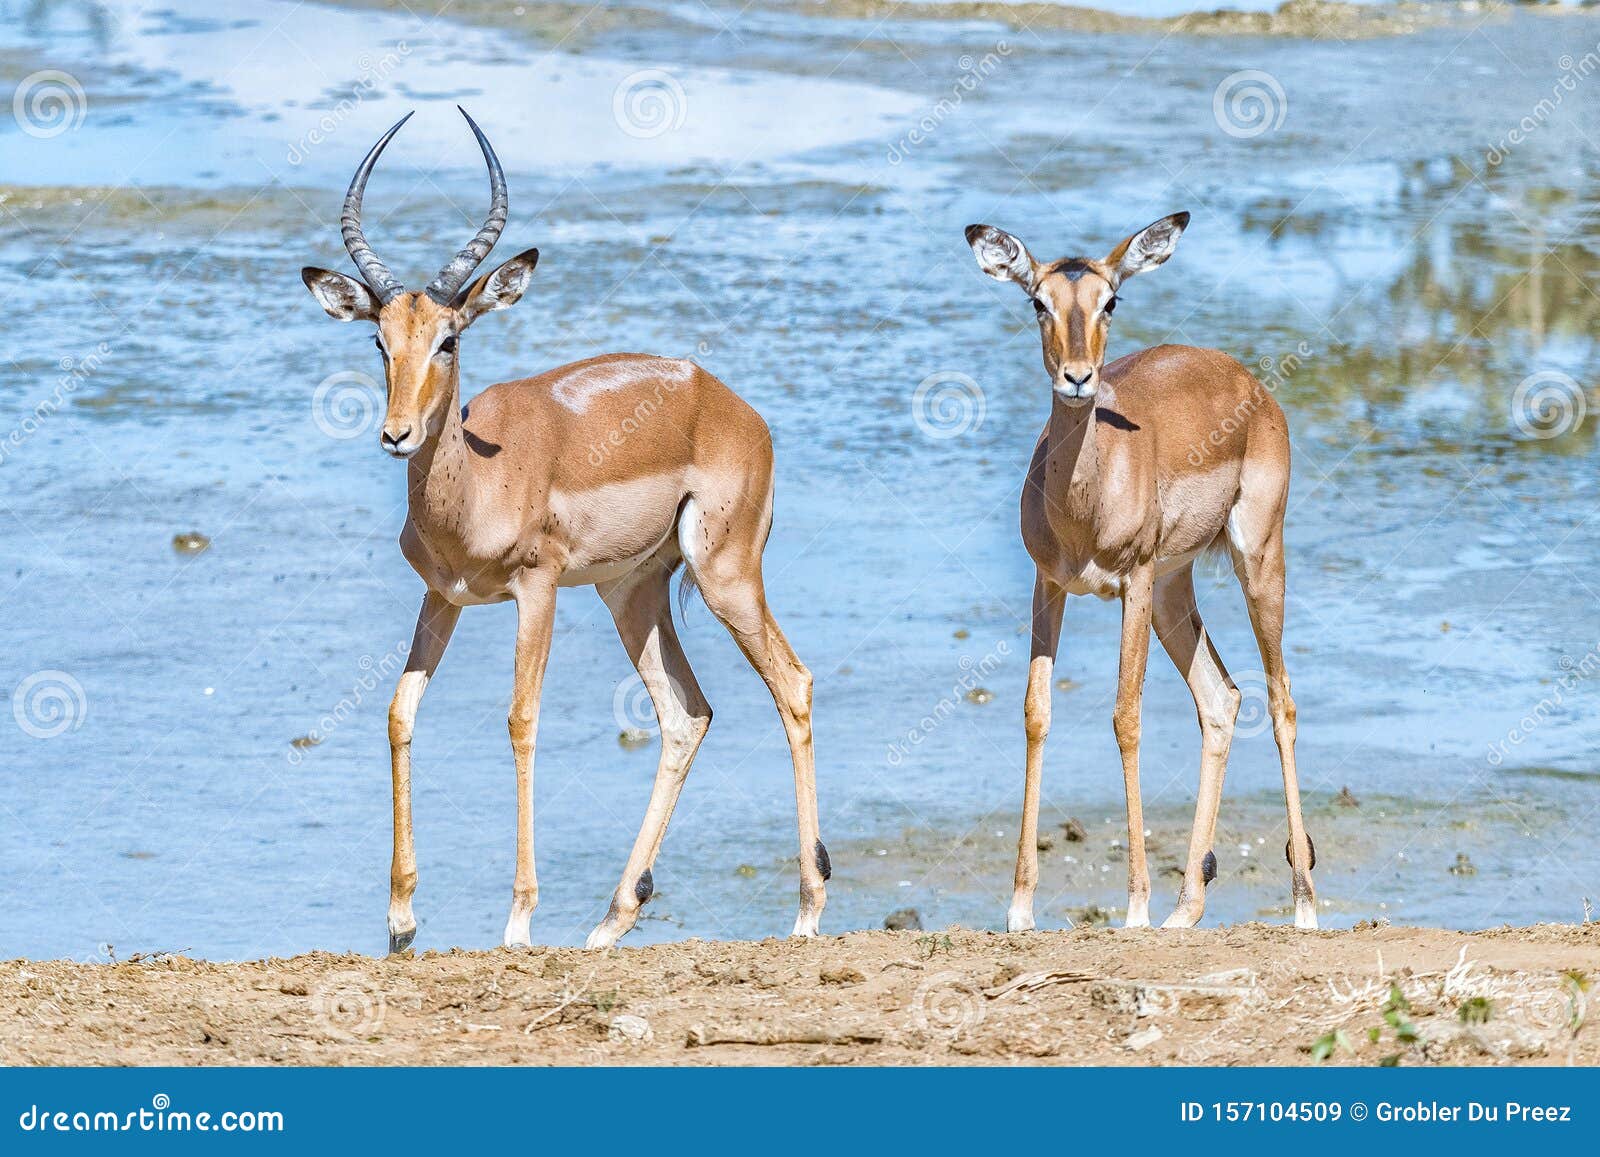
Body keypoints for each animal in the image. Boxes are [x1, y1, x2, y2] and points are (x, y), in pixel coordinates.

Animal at [301, 109, 827, 953]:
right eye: (380, 340)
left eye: (450, 337)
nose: (397, 434)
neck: (476, 485)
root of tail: (727, 403)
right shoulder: (442, 597)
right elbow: (399, 712)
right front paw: (401, 919)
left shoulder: (537, 589)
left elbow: (521, 720)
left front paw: (517, 918)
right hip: (631, 593)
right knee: (686, 714)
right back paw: (610, 920)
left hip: (725, 576)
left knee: (794, 683)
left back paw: (807, 909)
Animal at [964, 213, 1316, 931]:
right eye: (1038, 301)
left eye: (1111, 300)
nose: (1077, 377)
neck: (1083, 505)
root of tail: (1249, 384)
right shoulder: (1049, 585)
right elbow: (1035, 711)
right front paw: (1020, 908)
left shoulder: (1133, 581)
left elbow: (1126, 716)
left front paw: (1133, 907)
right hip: (1174, 591)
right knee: (1222, 697)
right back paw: (1185, 910)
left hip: (1255, 560)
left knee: (1280, 698)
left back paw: (1303, 907)